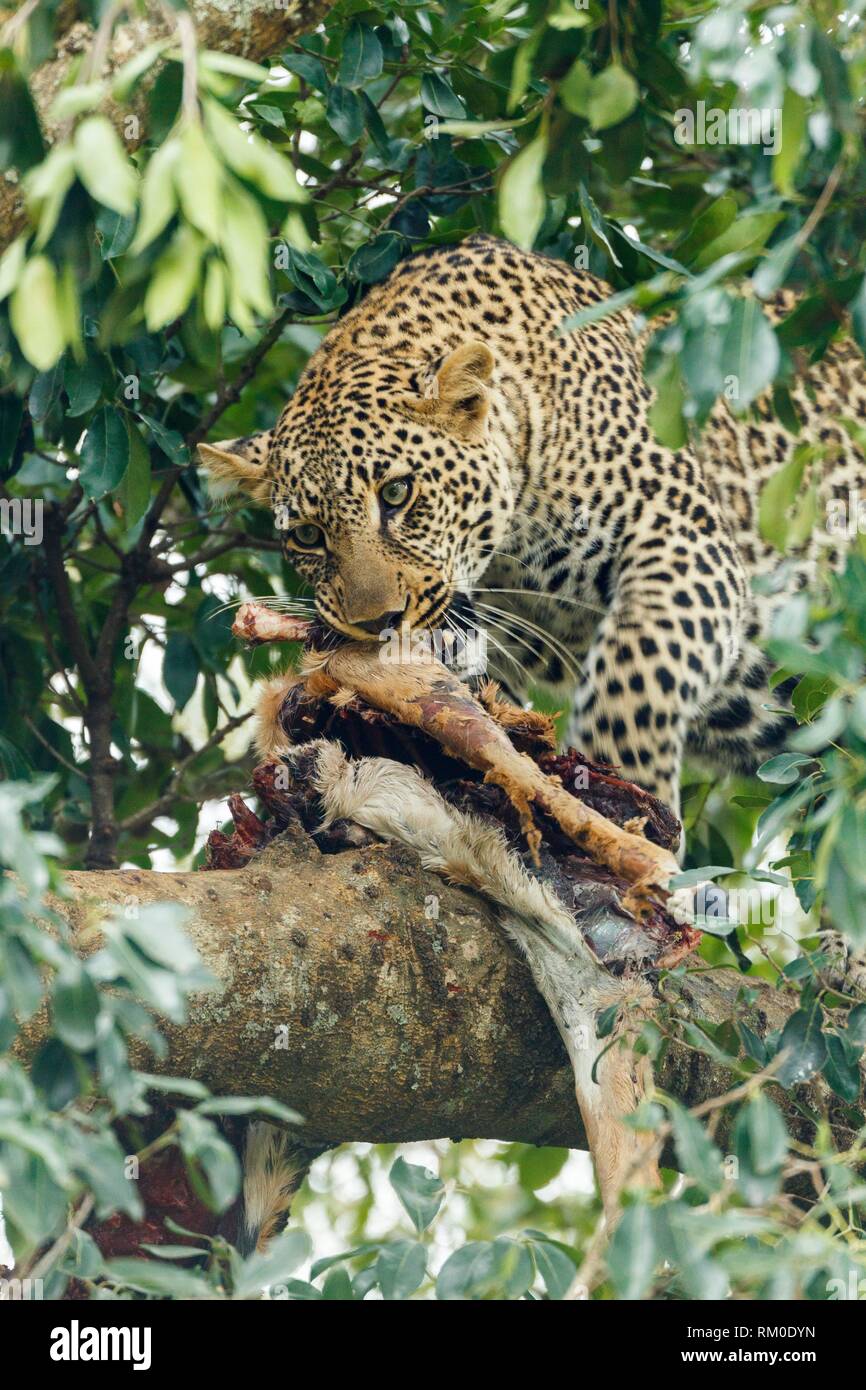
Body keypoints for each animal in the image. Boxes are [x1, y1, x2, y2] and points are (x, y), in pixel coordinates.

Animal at [200, 232, 866, 826]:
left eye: (395, 493)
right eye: (308, 536)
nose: (378, 621)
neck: (512, 554)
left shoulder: (682, 534)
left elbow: (636, 671)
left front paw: (626, 789)